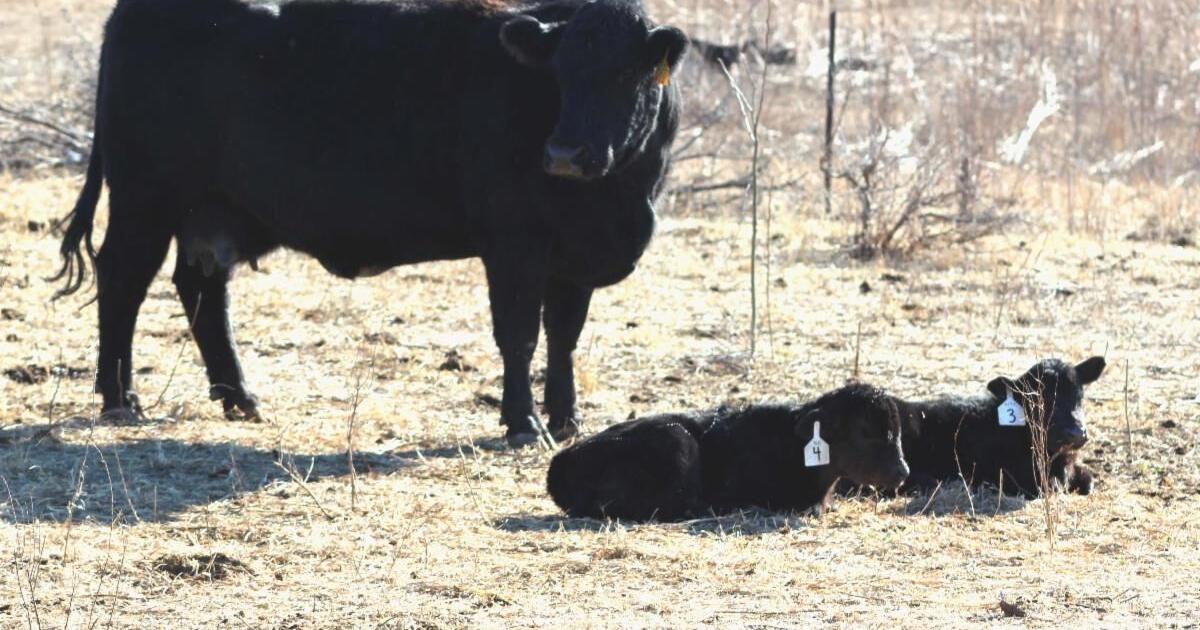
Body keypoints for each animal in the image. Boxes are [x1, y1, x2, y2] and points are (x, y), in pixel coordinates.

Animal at [50, 0, 688, 446]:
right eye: (561, 71)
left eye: (625, 74)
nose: (563, 154)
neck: (616, 199)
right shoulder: (514, 242)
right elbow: (520, 334)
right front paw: (523, 423)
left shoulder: (573, 255)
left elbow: (564, 337)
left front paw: (567, 418)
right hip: (146, 198)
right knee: (123, 280)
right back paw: (121, 397)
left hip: (206, 210)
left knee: (201, 286)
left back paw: (240, 397)